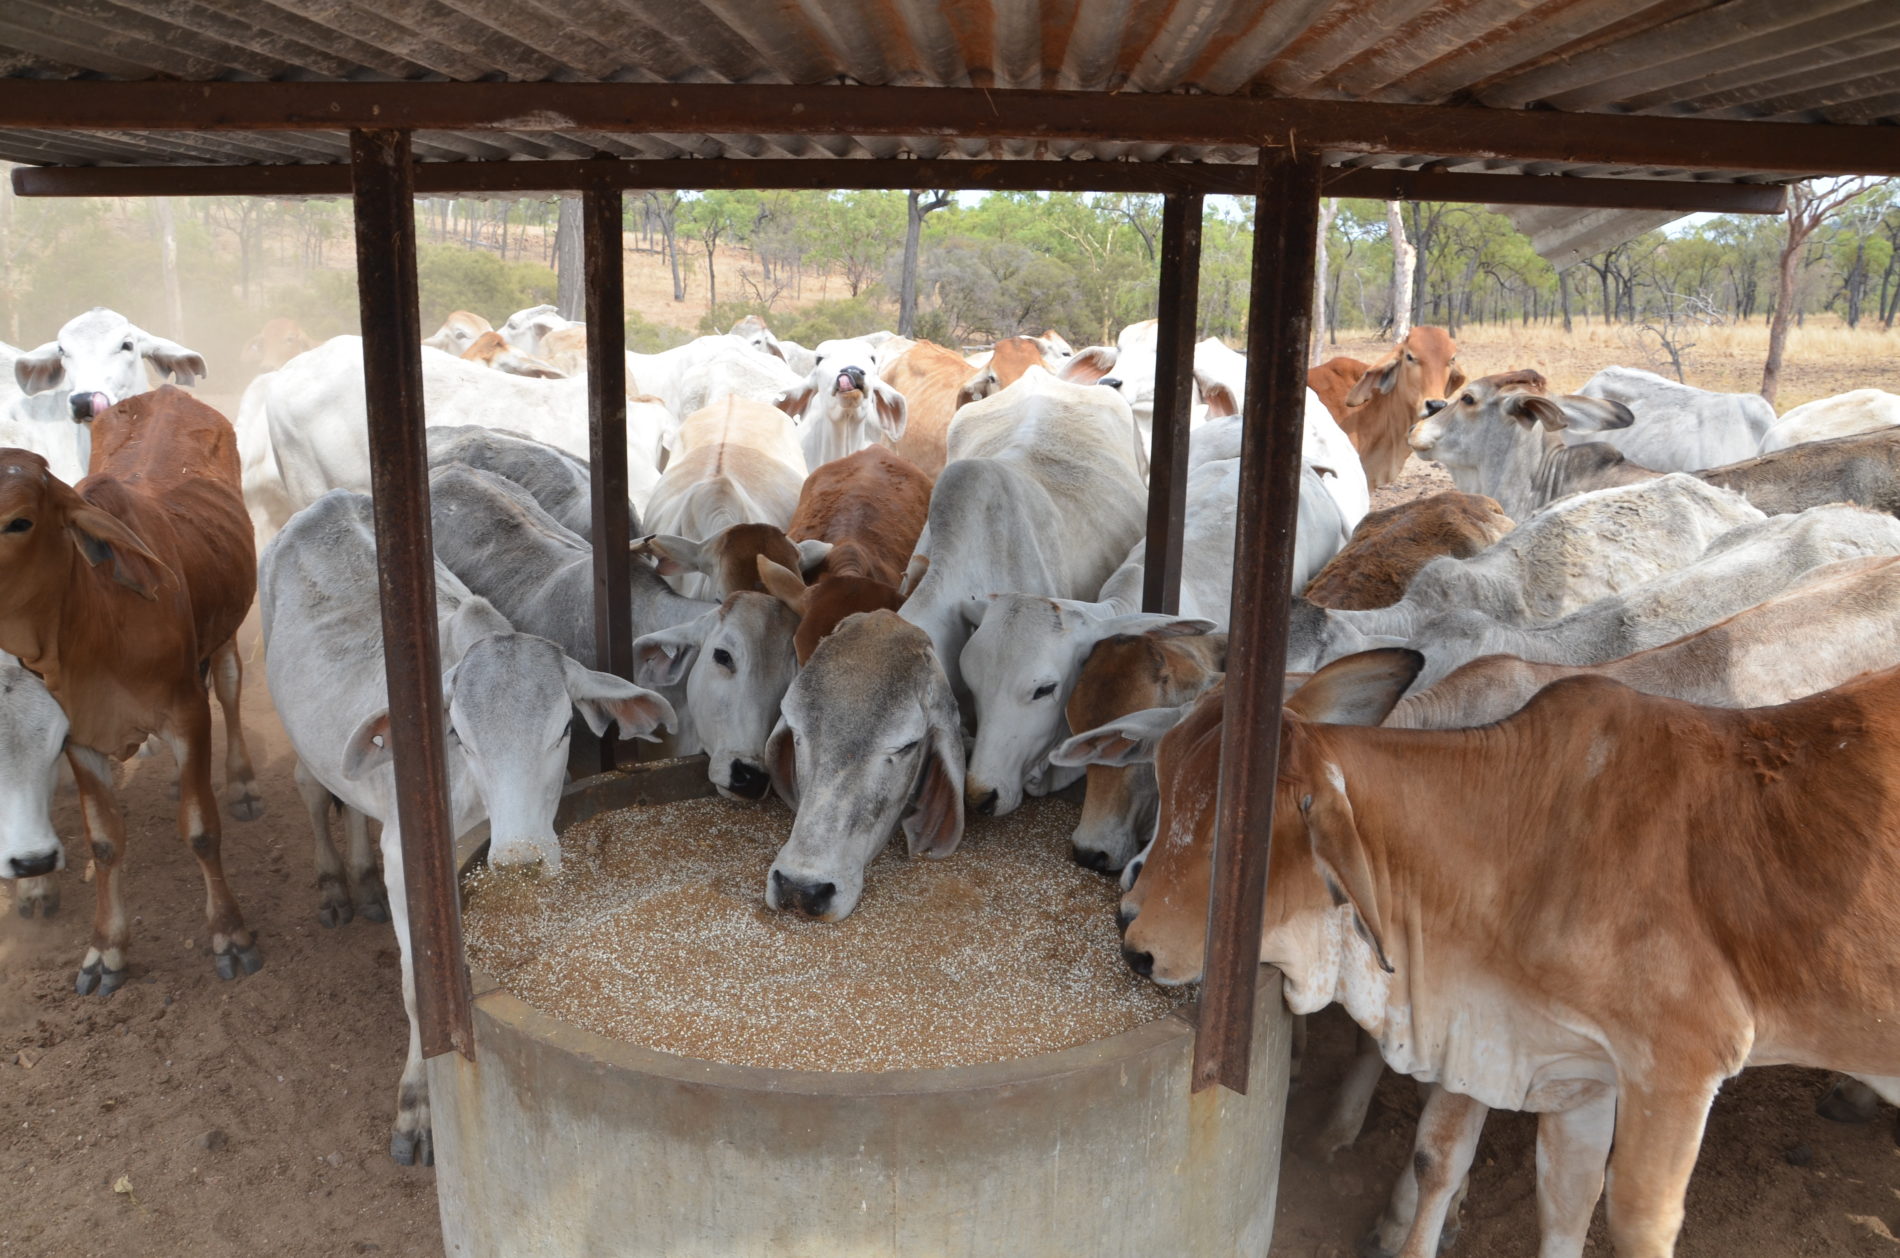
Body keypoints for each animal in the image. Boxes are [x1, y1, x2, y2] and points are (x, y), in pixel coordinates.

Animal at [0, 387, 261, 995]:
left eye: (19, 521)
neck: (96, 619)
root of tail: (168, 390)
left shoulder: (187, 714)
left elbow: (201, 829)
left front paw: (230, 935)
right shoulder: (79, 737)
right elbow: (104, 842)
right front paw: (106, 950)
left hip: (227, 630)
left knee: (231, 687)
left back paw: (239, 782)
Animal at [261, 489, 672, 1165]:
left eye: (565, 727)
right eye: (459, 735)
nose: (520, 858)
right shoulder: (407, 861)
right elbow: (415, 987)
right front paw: (416, 1109)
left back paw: (362, 882)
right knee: (313, 789)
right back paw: (334, 885)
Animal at [1116, 650, 1900, 1257]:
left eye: (1233, 833)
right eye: (1162, 773)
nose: (1132, 936)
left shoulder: (1677, 1068)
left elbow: (1630, 1222)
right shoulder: (1574, 1068)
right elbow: (1553, 1199)